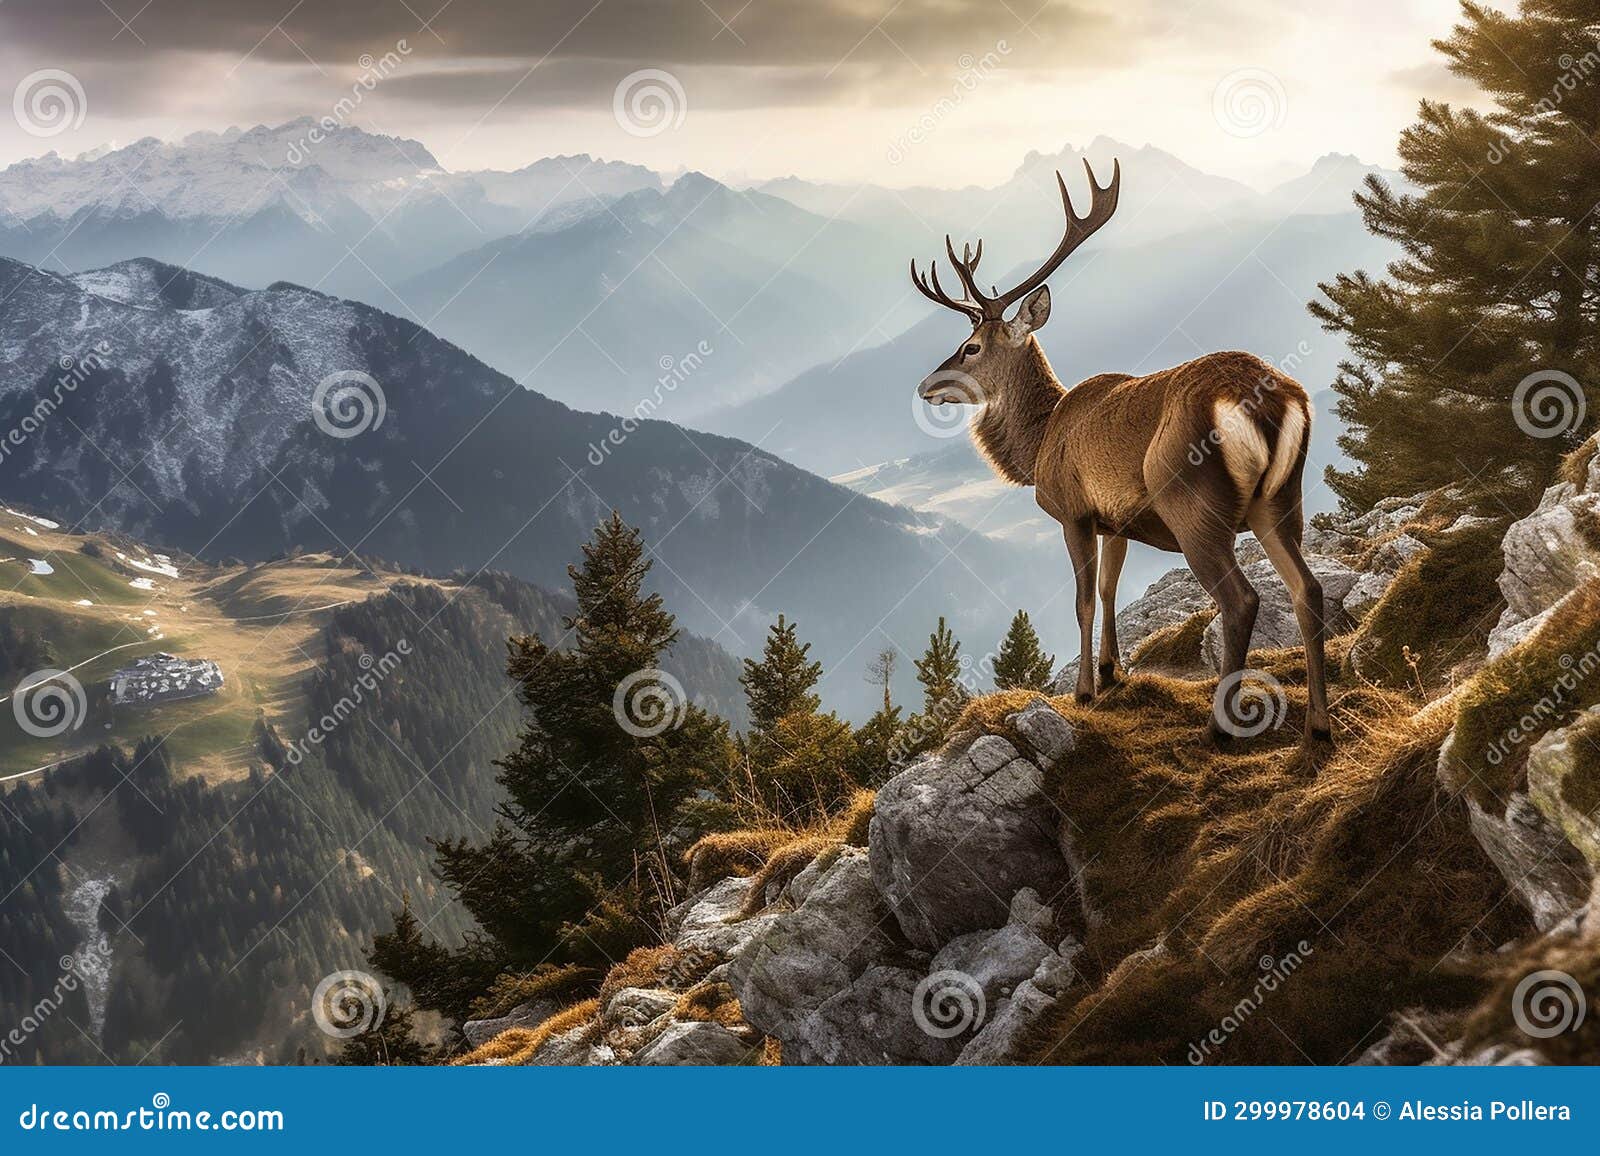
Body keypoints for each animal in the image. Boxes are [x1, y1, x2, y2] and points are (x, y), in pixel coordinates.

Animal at [910, 159, 1329, 745]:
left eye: (970, 348)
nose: (926, 386)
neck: (1040, 444)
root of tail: (1274, 400)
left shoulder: (1073, 511)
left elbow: (1084, 600)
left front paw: (1084, 690)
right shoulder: (1117, 520)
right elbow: (1110, 589)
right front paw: (1112, 672)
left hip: (1193, 504)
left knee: (1240, 600)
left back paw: (1220, 726)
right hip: (1283, 500)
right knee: (1307, 590)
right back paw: (1319, 725)